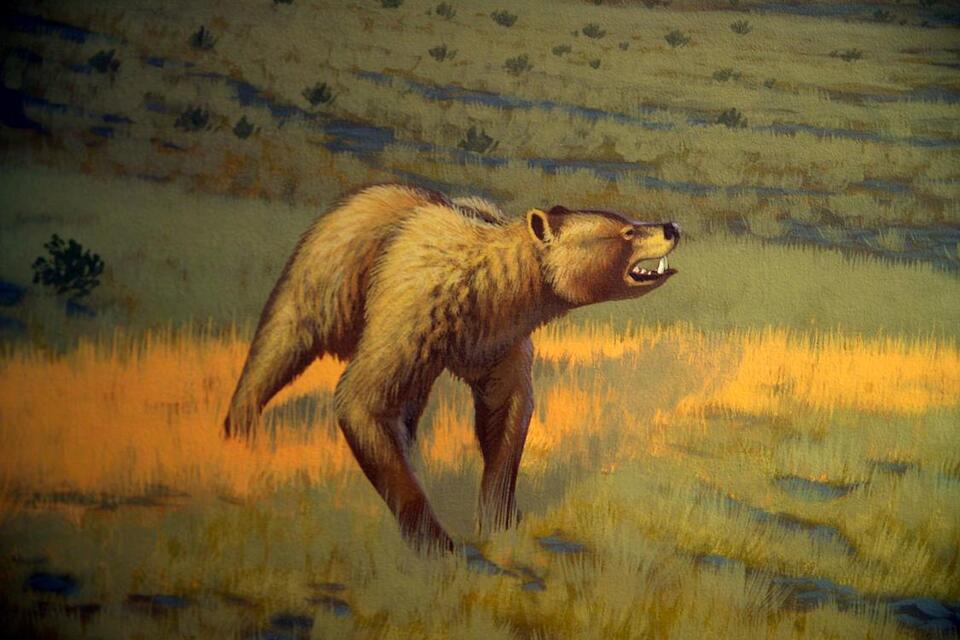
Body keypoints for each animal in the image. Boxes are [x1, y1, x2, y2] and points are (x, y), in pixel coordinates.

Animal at [224, 184, 680, 552]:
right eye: (627, 230)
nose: (671, 226)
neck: (502, 289)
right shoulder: (418, 305)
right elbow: (364, 398)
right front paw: (436, 541)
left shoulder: (499, 339)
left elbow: (506, 410)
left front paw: (499, 518)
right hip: (328, 279)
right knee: (280, 342)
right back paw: (240, 430)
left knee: (409, 401)